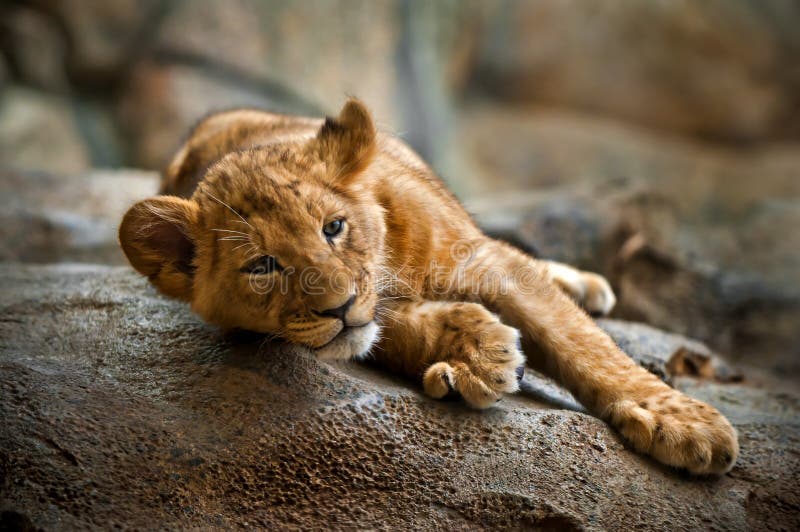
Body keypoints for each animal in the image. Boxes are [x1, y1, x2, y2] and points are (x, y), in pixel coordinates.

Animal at [119, 99, 738, 474]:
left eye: (333, 228)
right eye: (262, 266)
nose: (339, 306)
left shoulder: (484, 260)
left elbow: (579, 344)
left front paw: (684, 423)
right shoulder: (370, 319)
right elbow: (391, 328)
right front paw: (480, 354)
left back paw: (586, 285)